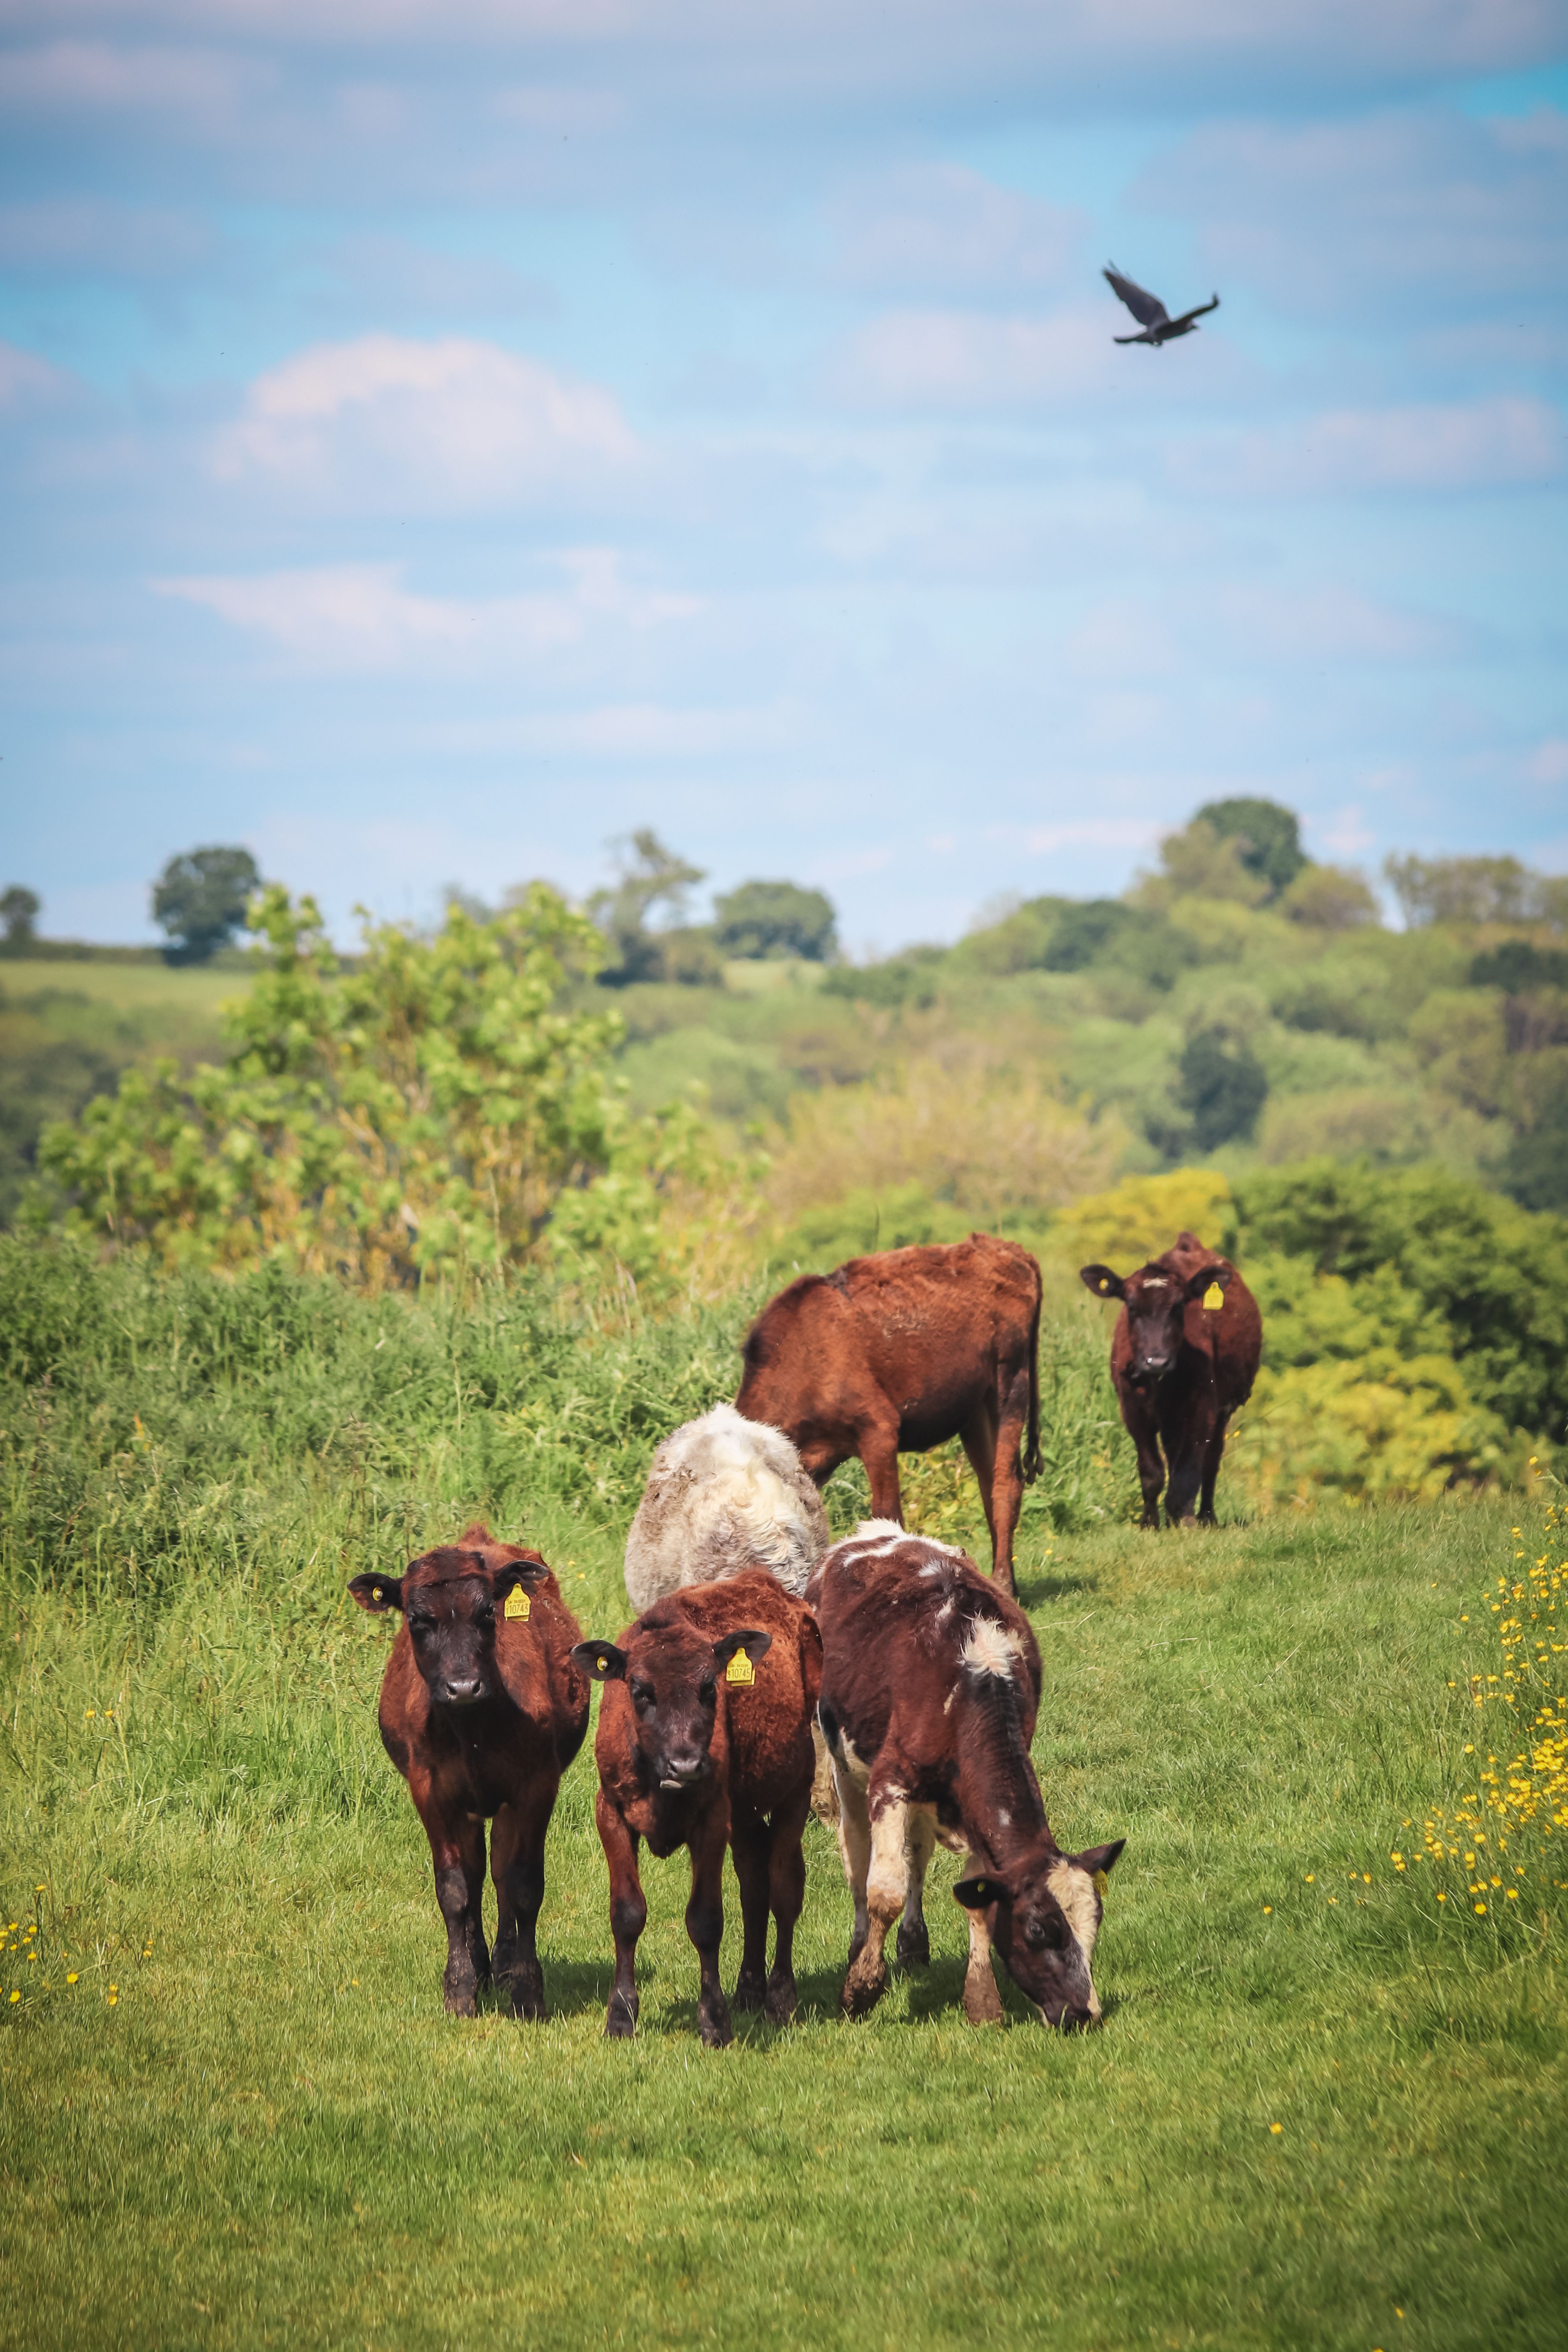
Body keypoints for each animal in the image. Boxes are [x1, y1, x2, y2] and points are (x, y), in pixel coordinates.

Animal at [348, 1522, 589, 2019]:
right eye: (416, 1619)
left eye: (488, 1613)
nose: (462, 1686)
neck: (472, 1727)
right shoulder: (430, 1790)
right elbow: (456, 1888)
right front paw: (459, 1987)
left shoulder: (536, 1785)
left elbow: (523, 1884)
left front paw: (527, 1990)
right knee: (480, 1870)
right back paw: (481, 1965)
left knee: (499, 1870)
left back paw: (503, 1964)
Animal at [573, 1570, 822, 2047]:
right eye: (639, 1690)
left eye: (711, 1688)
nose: (686, 1764)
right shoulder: (611, 1813)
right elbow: (627, 1913)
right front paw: (621, 2016)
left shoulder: (711, 1820)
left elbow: (705, 1921)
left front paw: (714, 2022)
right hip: (745, 1813)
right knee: (753, 1887)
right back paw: (749, 1990)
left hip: (795, 1793)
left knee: (784, 1889)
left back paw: (780, 1999)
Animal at [735, 1233, 1042, 1593]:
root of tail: (1009, 1248)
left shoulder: (879, 1430)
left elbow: (887, 1515)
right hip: (975, 1412)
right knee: (988, 1482)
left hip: (1010, 1385)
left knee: (1007, 1485)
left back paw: (1004, 1582)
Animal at [809, 1523, 1125, 2030]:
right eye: (1038, 1929)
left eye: (1094, 1923)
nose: (1084, 2013)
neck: (977, 1675)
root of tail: (877, 1532)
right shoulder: (889, 1781)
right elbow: (884, 1891)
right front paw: (861, 1989)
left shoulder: (969, 1806)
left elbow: (973, 1894)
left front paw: (982, 2001)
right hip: (840, 1760)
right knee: (856, 1854)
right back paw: (860, 1948)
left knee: (916, 1854)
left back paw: (914, 1945)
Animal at [1079, 1229, 1262, 1529]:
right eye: (1131, 1305)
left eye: (1178, 1307)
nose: (1156, 1361)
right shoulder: (1133, 1410)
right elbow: (1152, 1471)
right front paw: (1150, 1522)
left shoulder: (1203, 1407)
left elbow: (1189, 1470)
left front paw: (1185, 1519)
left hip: (1221, 1410)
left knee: (1211, 1462)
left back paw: (1206, 1516)